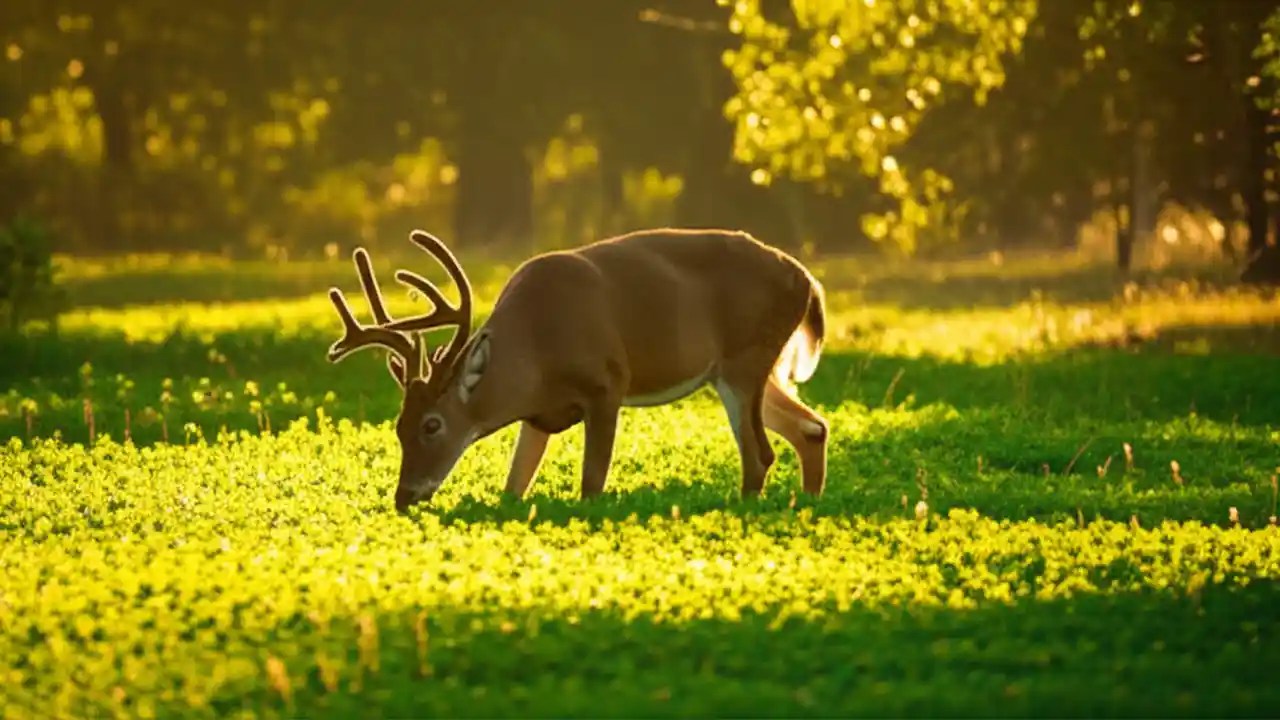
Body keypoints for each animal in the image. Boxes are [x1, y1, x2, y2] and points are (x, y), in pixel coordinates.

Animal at [325, 227, 830, 512]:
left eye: (432, 425)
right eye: (398, 426)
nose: (404, 496)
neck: (536, 352)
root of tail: (809, 280)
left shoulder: (607, 382)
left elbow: (592, 482)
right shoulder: (537, 415)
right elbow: (514, 487)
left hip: (745, 357)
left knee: (759, 453)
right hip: (748, 369)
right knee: (812, 428)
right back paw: (807, 503)